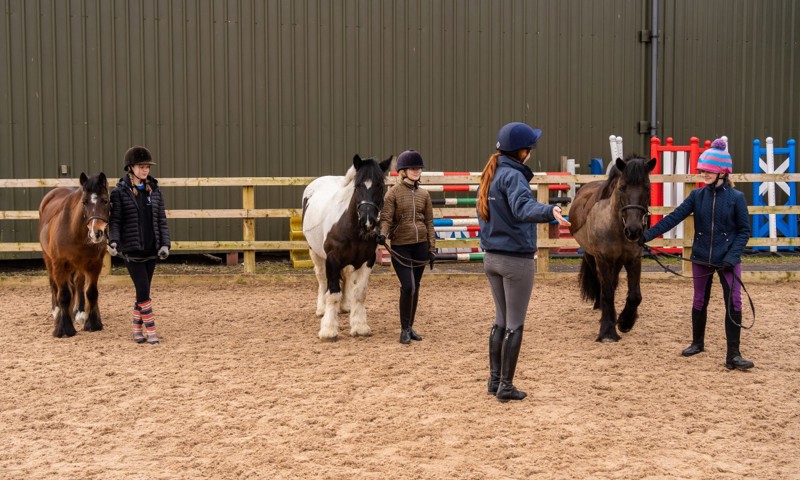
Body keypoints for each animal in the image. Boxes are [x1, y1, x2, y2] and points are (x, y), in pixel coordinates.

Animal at [38, 172, 110, 338]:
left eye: (105, 200)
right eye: (84, 202)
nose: (97, 233)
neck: (73, 231)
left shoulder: (94, 264)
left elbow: (91, 292)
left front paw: (93, 323)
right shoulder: (59, 263)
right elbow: (64, 295)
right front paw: (64, 328)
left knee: (78, 284)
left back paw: (79, 312)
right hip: (48, 259)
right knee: (53, 283)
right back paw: (57, 310)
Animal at [302, 154, 392, 341]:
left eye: (380, 186)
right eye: (357, 186)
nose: (367, 221)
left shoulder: (368, 260)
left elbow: (360, 293)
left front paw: (360, 326)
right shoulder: (332, 259)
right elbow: (333, 293)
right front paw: (328, 329)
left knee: (348, 278)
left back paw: (345, 307)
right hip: (315, 253)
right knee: (321, 279)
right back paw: (321, 309)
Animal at [568, 155, 656, 342]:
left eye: (647, 188)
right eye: (622, 187)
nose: (633, 230)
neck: (616, 225)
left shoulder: (633, 259)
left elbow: (635, 295)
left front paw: (625, 322)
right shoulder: (603, 259)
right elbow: (607, 293)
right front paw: (608, 331)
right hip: (591, 256)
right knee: (601, 284)